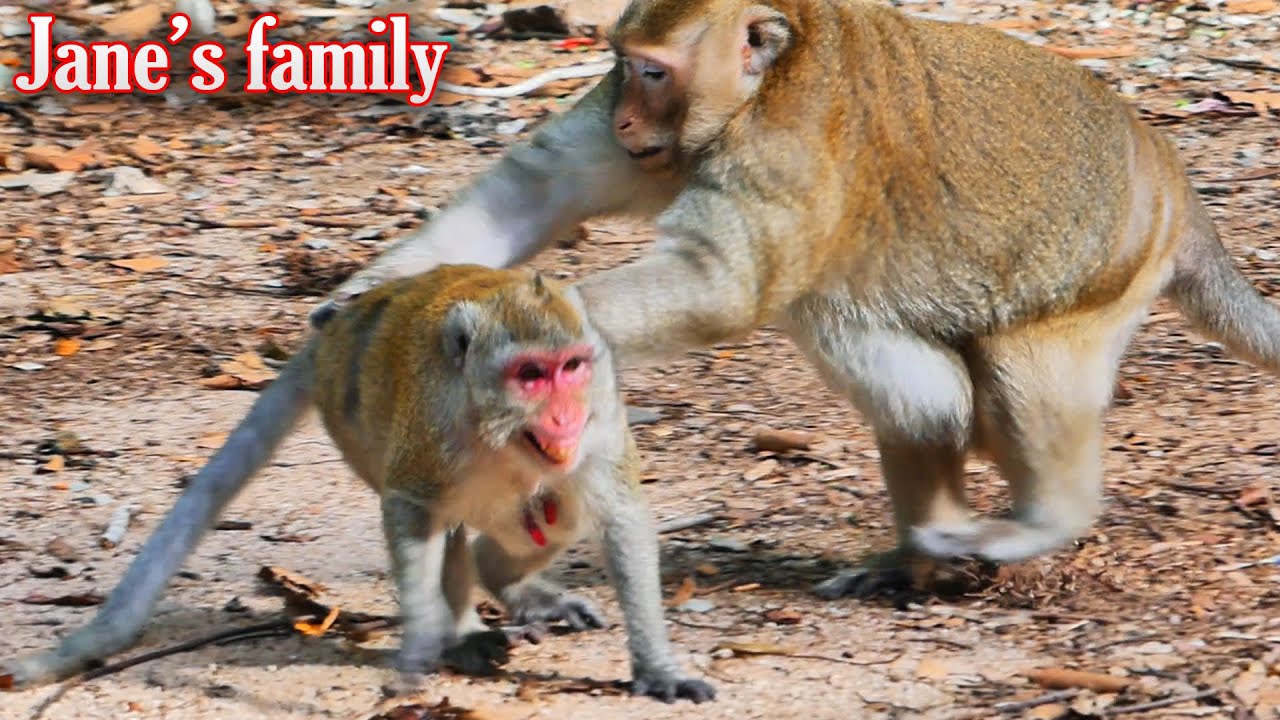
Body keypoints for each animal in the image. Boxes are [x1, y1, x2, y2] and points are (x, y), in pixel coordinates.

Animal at [4, 265, 715, 704]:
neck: (497, 430)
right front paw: (428, 637)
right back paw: (465, 627)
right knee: (441, 521)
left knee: (555, 506)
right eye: (531, 375)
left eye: (572, 368)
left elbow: (620, 513)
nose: (565, 416)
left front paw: (658, 667)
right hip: (351, 423)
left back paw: (507, 579)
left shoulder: (601, 420)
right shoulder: (430, 432)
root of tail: (336, 326)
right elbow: (411, 512)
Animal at [301, 0, 1280, 599]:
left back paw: (1048, 517)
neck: (770, 77)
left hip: (1094, 279)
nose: (624, 116)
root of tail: (1172, 176)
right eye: (624, 68)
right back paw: (915, 556)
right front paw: (365, 300)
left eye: (654, 73)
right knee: (914, 385)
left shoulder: (781, 148)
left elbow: (719, 286)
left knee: (1018, 372)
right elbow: (533, 192)